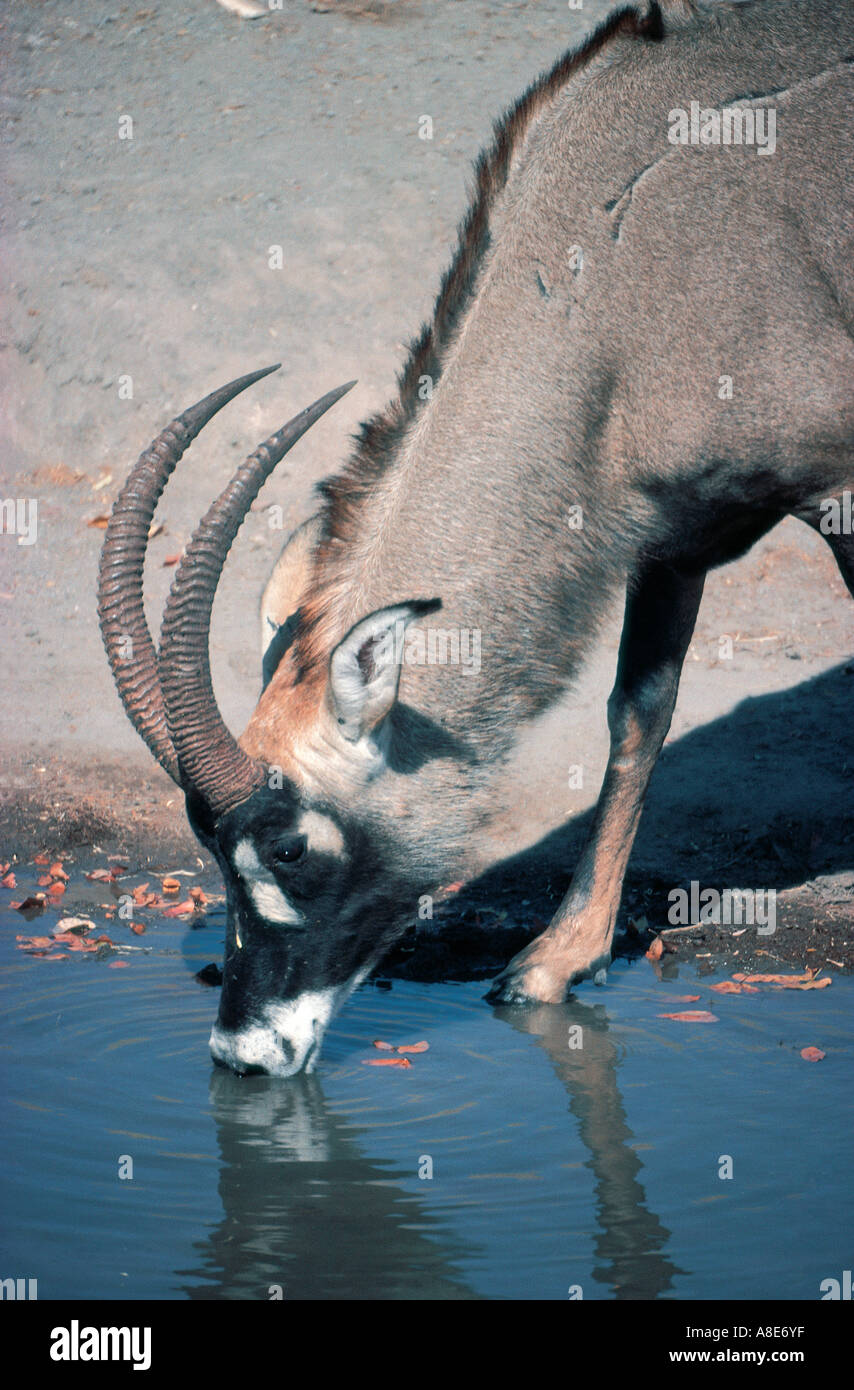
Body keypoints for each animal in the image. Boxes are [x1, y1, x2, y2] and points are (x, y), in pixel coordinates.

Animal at [99, 0, 854, 1076]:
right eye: (206, 848)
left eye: (287, 845)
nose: (245, 1052)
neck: (618, 268)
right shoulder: (666, 532)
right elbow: (637, 712)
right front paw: (555, 959)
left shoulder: (837, 488)